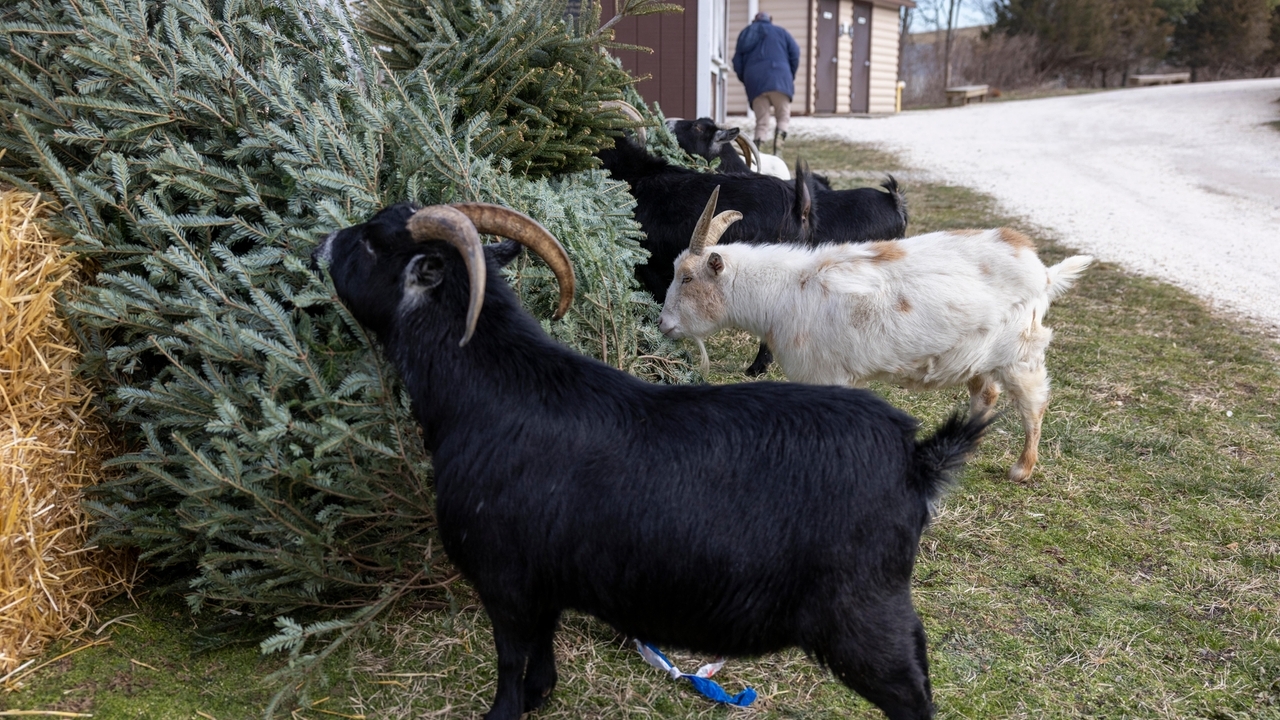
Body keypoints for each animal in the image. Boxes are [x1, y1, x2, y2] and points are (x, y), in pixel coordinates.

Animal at [315, 198, 989, 720]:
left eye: (372, 243)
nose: (324, 241)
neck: (486, 392)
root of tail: (917, 458)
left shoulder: (504, 577)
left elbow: (510, 659)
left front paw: (505, 711)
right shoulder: (544, 579)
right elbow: (542, 656)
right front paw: (540, 696)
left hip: (862, 616)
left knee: (911, 697)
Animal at [658, 196, 1091, 482]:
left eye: (688, 277)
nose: (664, 325)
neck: (787, 288)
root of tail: (1043, 271)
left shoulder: (826, 373)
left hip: (1022, 352)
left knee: (1034, 403)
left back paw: (1022, 469)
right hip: (977, 356)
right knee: (987, 395)